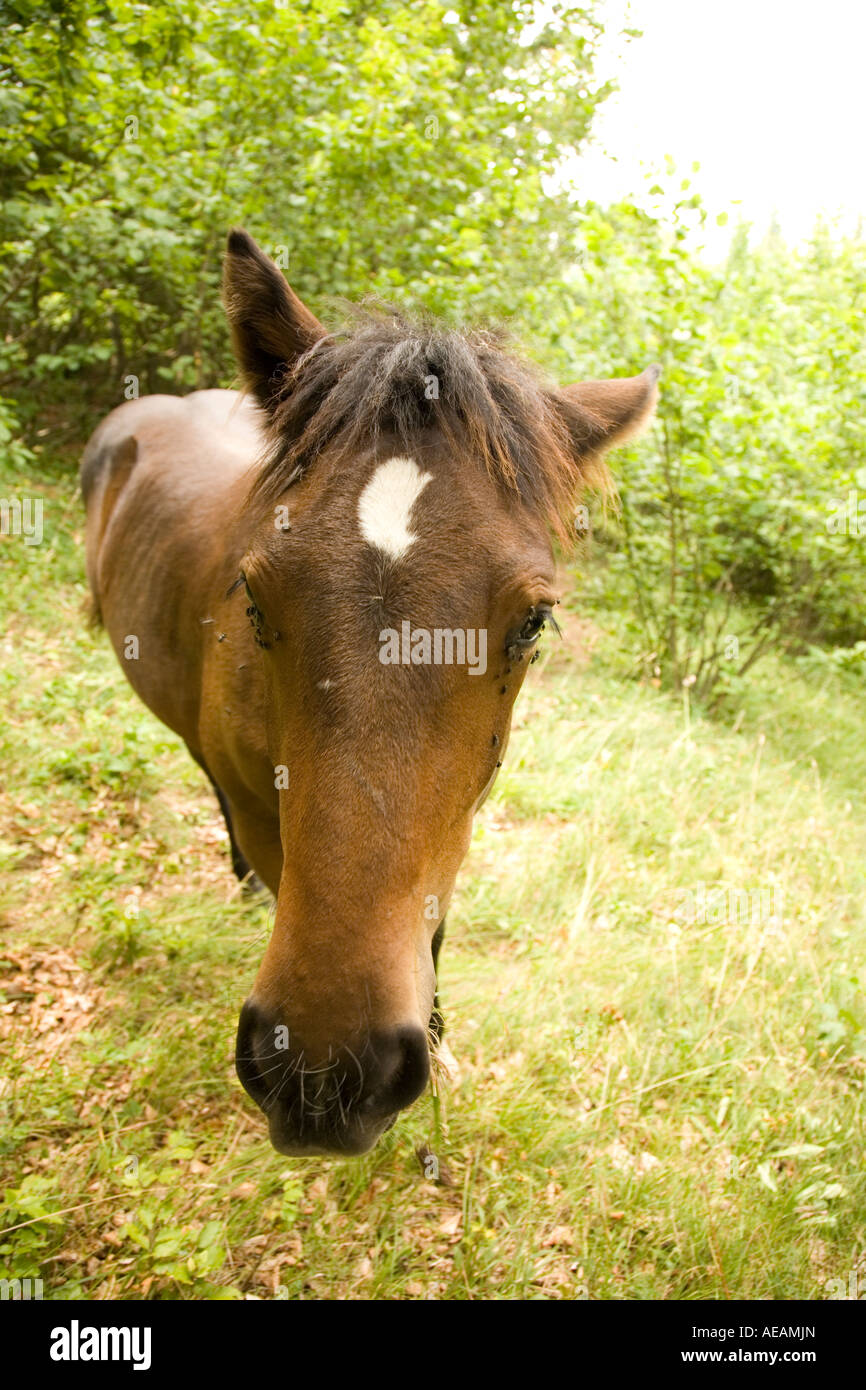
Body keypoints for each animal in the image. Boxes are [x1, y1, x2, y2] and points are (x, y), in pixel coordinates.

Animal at [80, 229, 659, 1156]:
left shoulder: (453, 823)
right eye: (254, 597)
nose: (327, 1072)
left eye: (534, 621)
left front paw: (438, 1036)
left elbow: (432, 919)